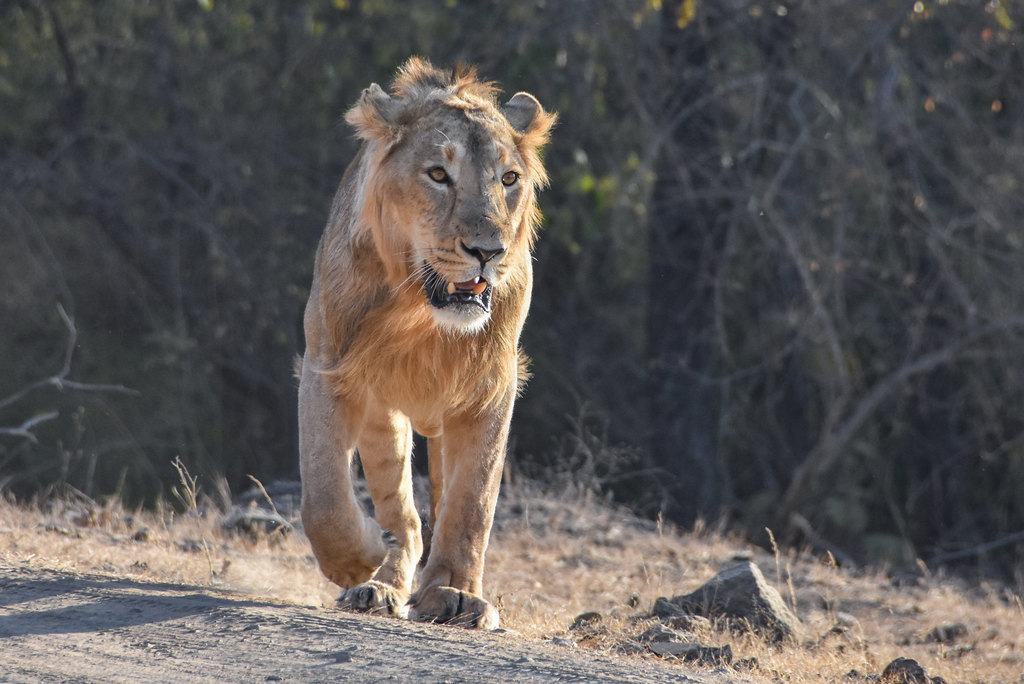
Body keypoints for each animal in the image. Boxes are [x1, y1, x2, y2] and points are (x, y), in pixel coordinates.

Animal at [297, 58, 555, 629]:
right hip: (384, 417)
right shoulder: (329, 368)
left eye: (509, 179)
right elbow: (324, 497)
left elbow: (473, 503)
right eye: (438, 174)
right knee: (405, 517)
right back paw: (380, 583)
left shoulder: (491, 388)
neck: (423, 312)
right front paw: (360, 559)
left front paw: (454, 593)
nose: (488, 251)